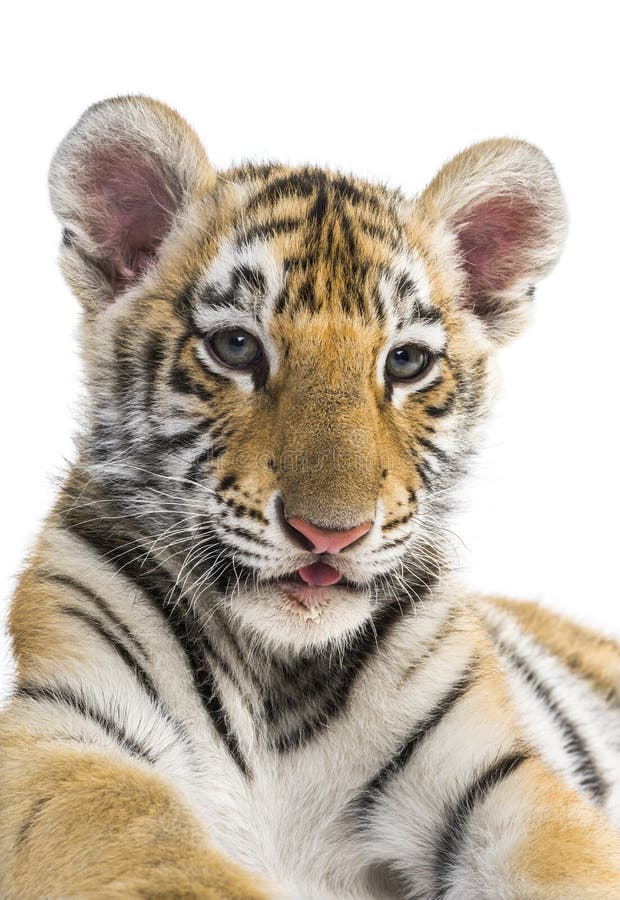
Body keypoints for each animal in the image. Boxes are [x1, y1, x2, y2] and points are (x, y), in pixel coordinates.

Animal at [1, 94, 619, 900]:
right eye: (236, 348)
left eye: (406, 362)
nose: (332, 534)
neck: (279, 676)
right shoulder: (67, 735)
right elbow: (157, 854)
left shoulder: (493, 776)